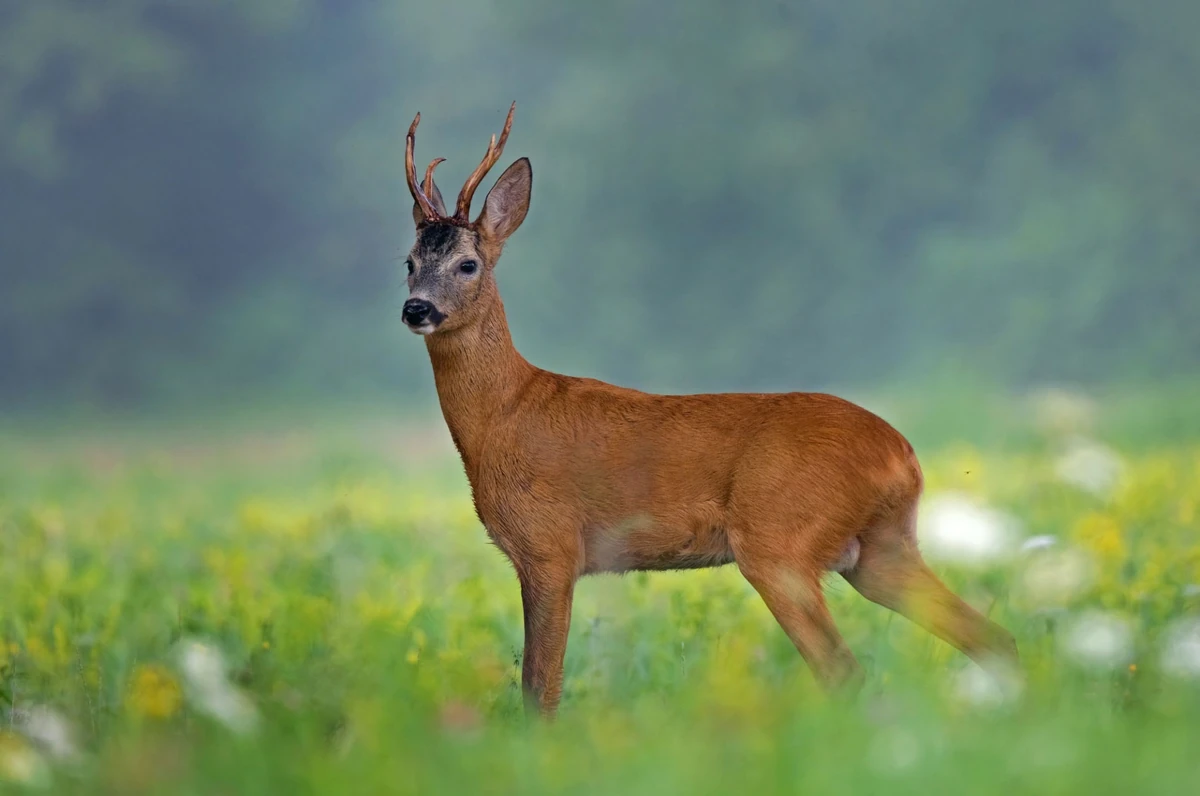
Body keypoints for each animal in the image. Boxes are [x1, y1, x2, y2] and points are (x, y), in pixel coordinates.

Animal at [398, 103, 1018, 719]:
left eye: (468, 264)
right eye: (408, 261)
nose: (415, 309)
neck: (503, 417)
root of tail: (903, 454)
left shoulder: (549, 546)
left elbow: (540, 688)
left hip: (780, 541)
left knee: (844, 669)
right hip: (881, 549)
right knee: (992, 637)